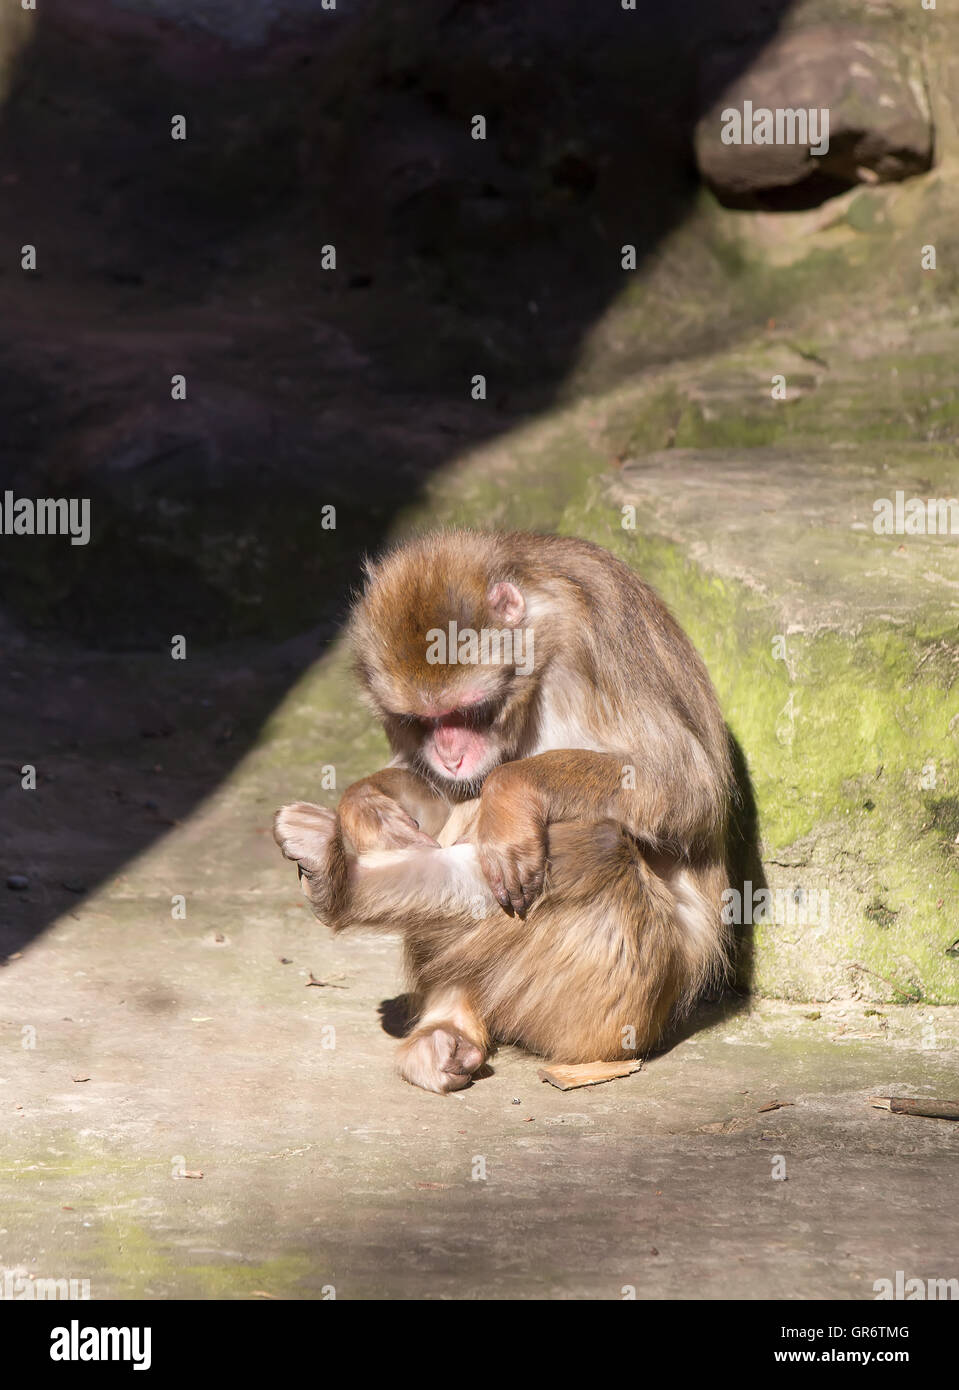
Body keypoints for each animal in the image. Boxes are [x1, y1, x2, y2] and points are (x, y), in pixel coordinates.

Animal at [274, 529, 734, 1095]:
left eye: (467, 712)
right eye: (423, 720)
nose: (450, 754)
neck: (542, 641)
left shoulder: (594, 641)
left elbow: (685, 785)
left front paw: (510, 793)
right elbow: (434, 795)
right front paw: (365, 805)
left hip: (620, 1009)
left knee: (595, 845)